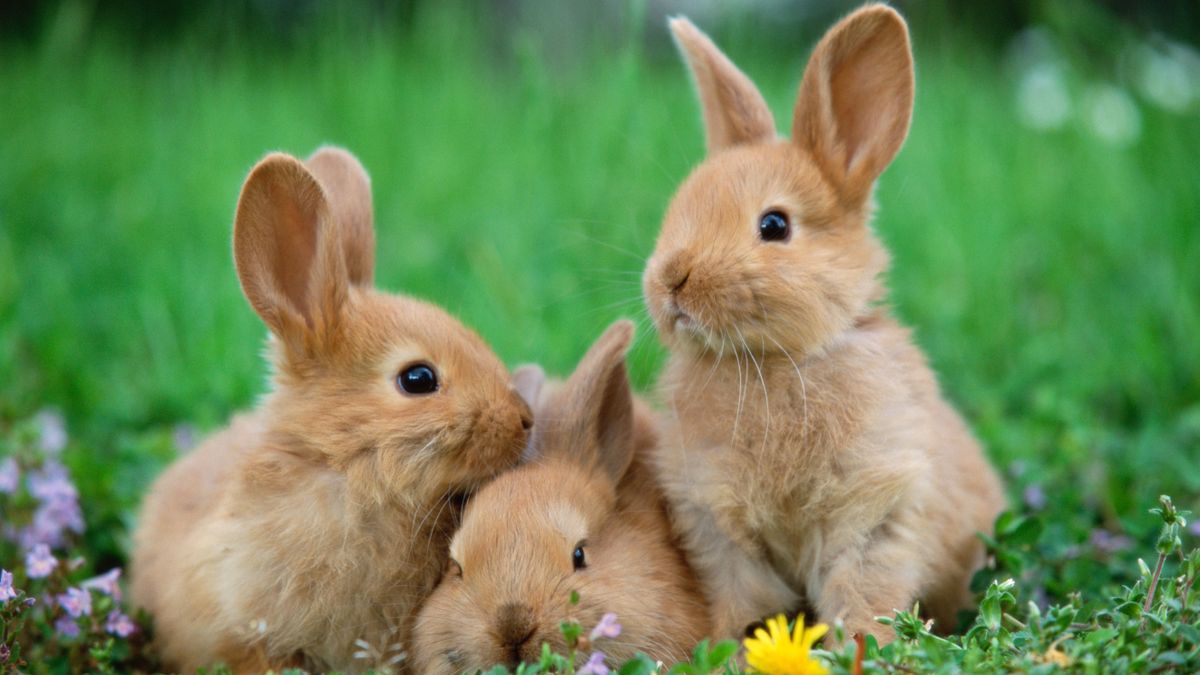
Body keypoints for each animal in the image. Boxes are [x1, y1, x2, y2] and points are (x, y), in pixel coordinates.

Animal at [640, 5, 1006, 644]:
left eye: (774, 225)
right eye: (679, 208)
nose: (671, 281)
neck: (774, 361)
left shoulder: (875, 510)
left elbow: (860, 593)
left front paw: (862, 648)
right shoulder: (718, 528)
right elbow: (746, 601)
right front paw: (734, 650)